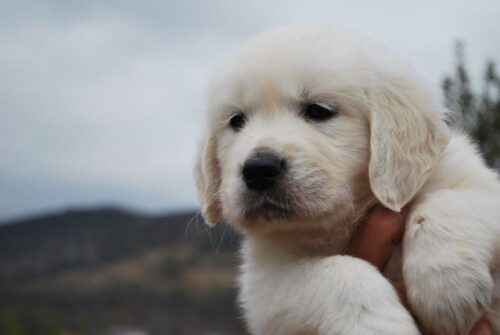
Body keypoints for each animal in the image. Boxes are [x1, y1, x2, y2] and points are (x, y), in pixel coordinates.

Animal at [194, 26, 500, 335]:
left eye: (319, 110)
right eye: (236, 120)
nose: (258, 169)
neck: (348, 216)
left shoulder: (479, 186)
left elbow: (447, 204)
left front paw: (447, 285)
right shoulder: (266, 286)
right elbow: (340, 269)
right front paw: (377, 325)